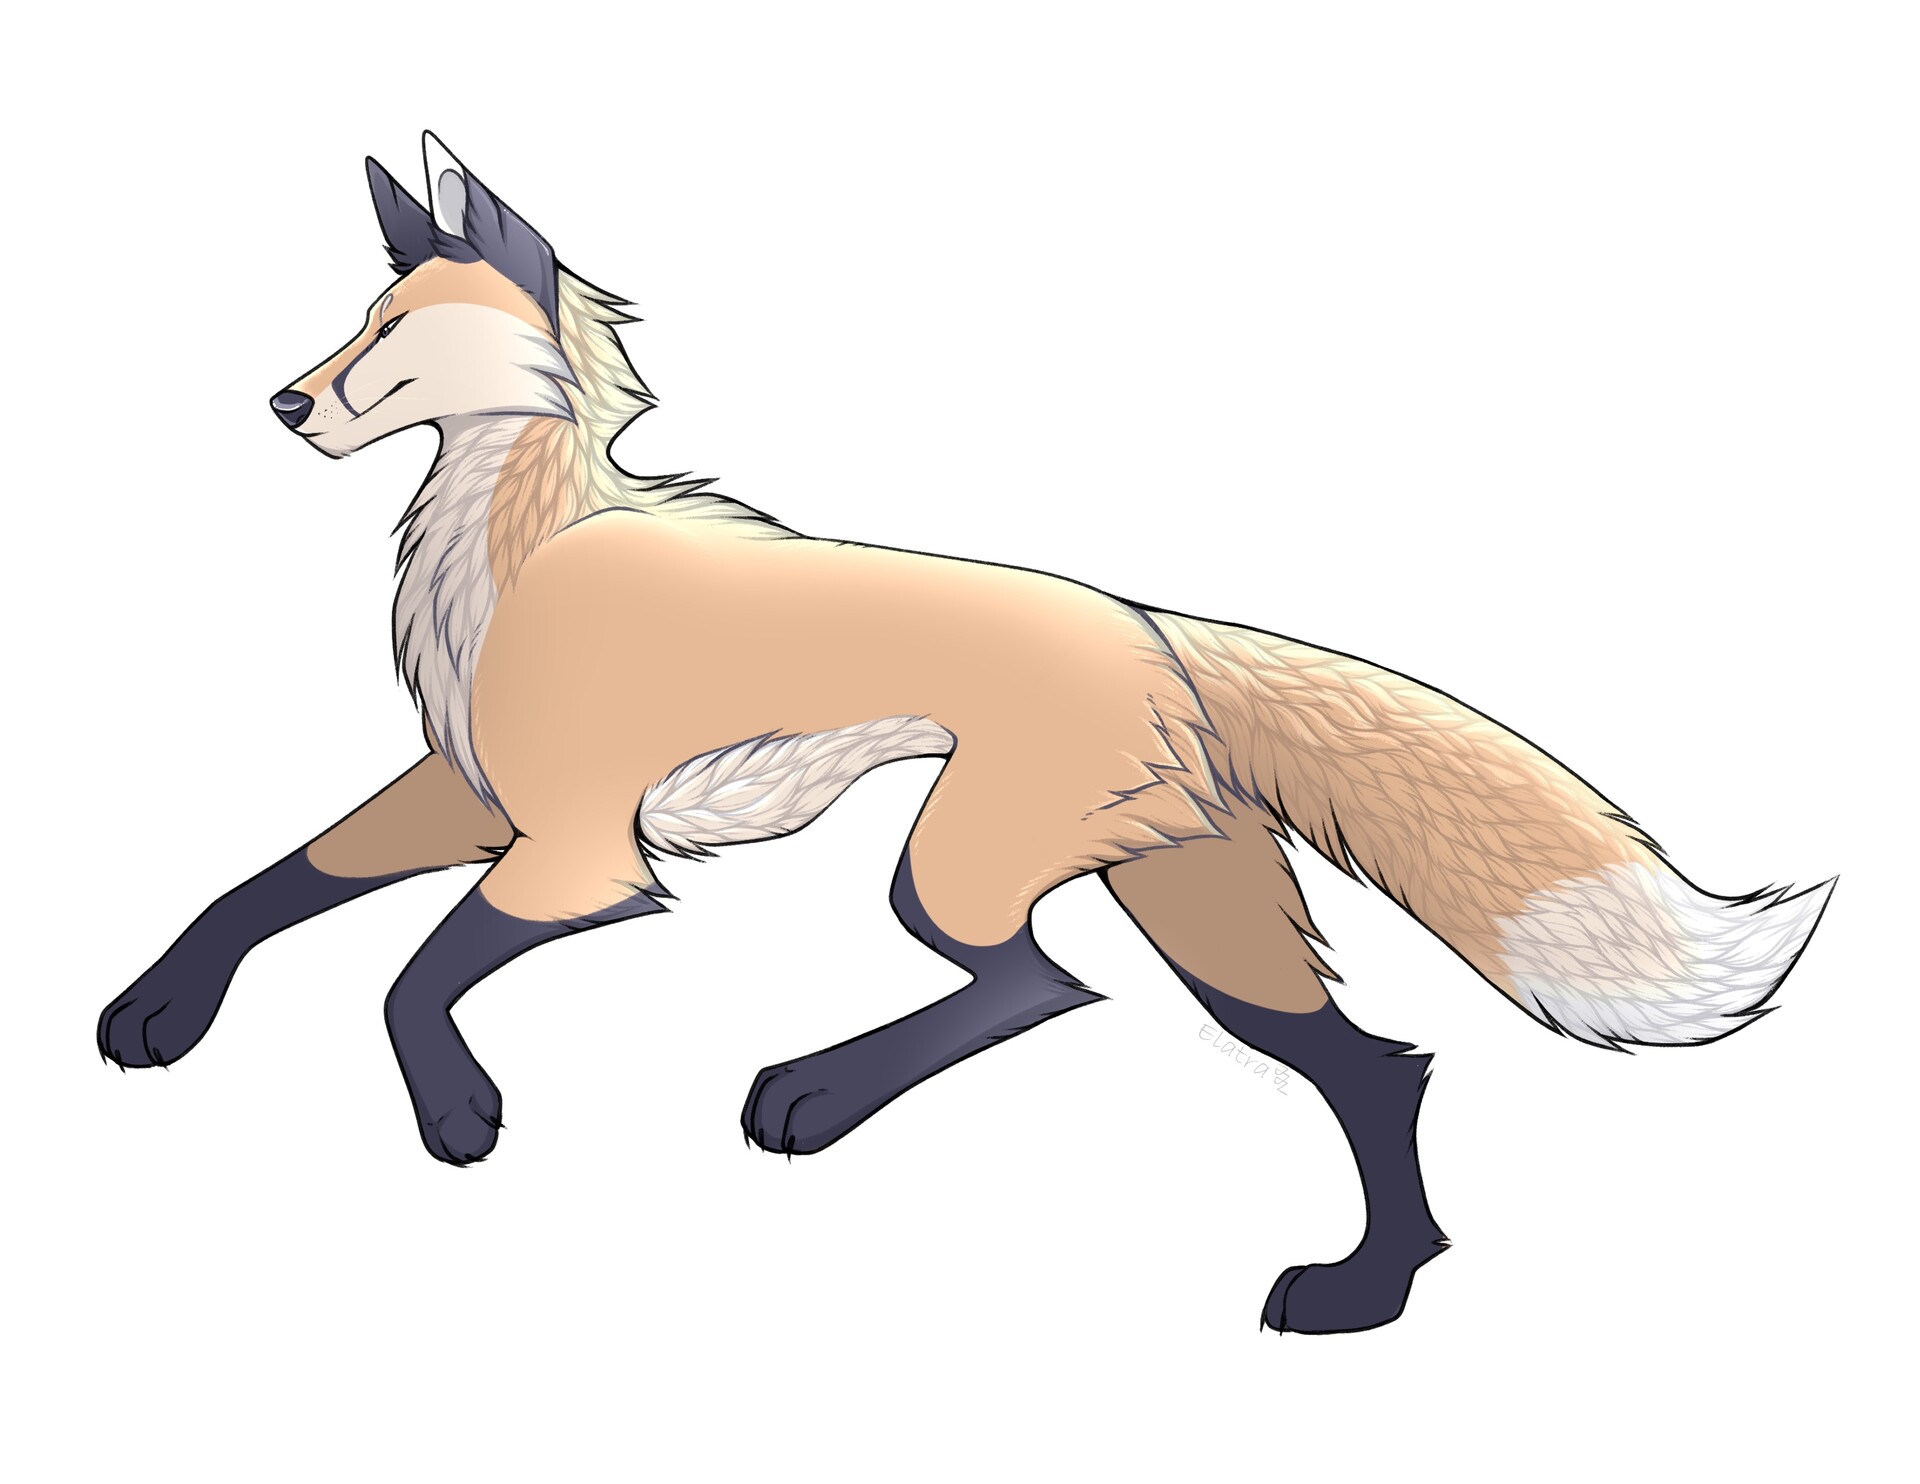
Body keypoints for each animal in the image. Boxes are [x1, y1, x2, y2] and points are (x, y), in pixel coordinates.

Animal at [97, 133, 1833, 1336]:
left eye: (395, 332)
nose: (281, 404)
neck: (519, 548)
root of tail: (1153, 625)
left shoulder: (581, 854)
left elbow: (407, 979)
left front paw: (459, 1116)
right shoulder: (471, 799)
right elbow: (261, 887)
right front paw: (154, 1014)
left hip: (957, 866)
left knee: (1048, 987)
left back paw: (822, 1101)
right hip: (1182, 891)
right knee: (1345, 1059)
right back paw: (1362, 1291)